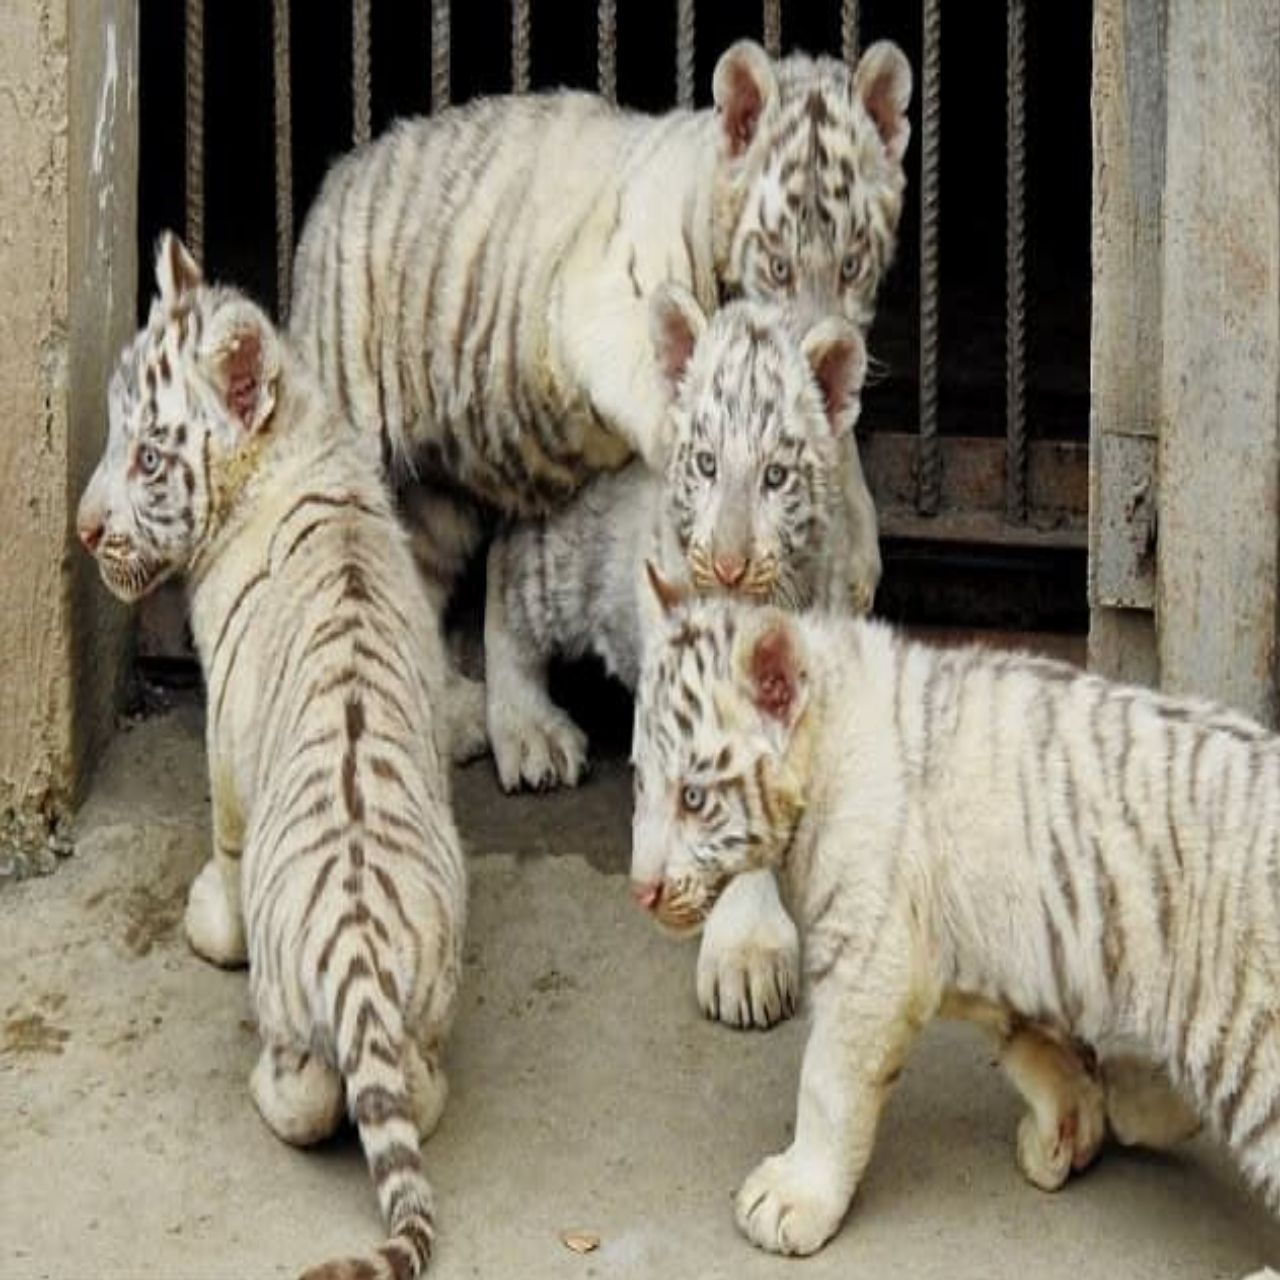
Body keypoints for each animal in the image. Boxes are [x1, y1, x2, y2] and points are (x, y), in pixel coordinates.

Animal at [76, 233, 466, 1280]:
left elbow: (226, 834)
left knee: (306, 1101)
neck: (299, 440)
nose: (84, 530)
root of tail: (361, 953)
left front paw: (211, 918)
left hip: (298, 1020)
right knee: (420, 1092)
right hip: (426, 1004)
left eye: (149, 455)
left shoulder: (224, 717)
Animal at [288, 38, 911, 699]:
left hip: (438, 496)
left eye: (852, 266)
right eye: (777, 267)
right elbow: (672, 415)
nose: (822, 334)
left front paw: (853, 553)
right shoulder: (601, 304)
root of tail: (329, 189)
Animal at [625, 584, 1273, 1259]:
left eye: (693, 797)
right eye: (639, 780)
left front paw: (794, 1197)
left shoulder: (870, 960)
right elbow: (1029, 1041)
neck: (823, 744)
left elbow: (827, 1081)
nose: (641, 890)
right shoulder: (1007, 942)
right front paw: (1071, 1122)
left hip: (1250, 1038)